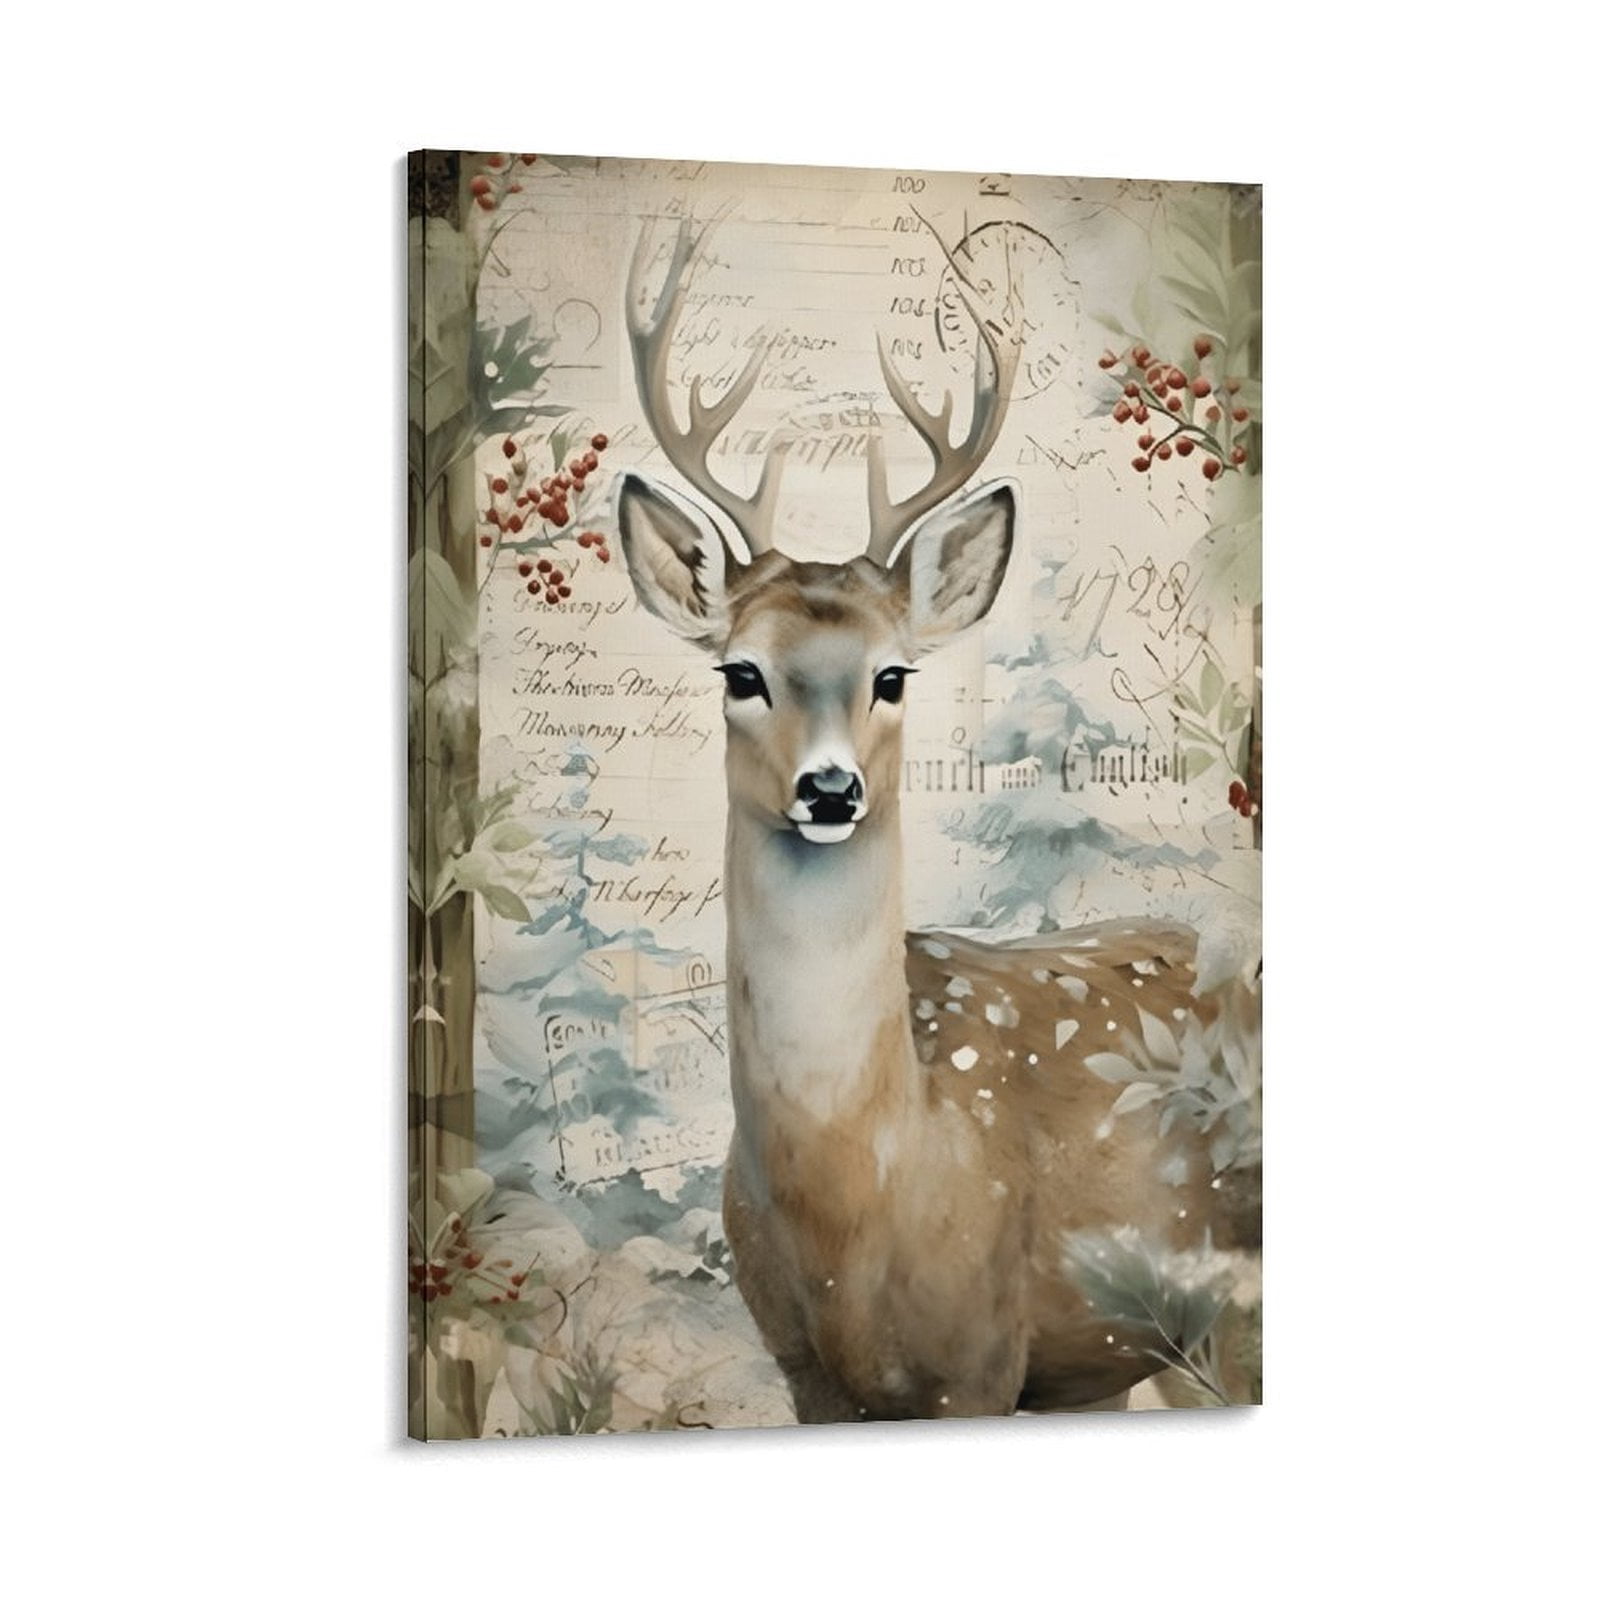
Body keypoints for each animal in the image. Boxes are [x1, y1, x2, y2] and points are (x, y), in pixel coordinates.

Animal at [612, 219, 1259, 1421]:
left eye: (894, 674)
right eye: (740, 670)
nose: (829, 791)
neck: (853, 1204)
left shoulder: (982, 1359)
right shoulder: (803, 1372)